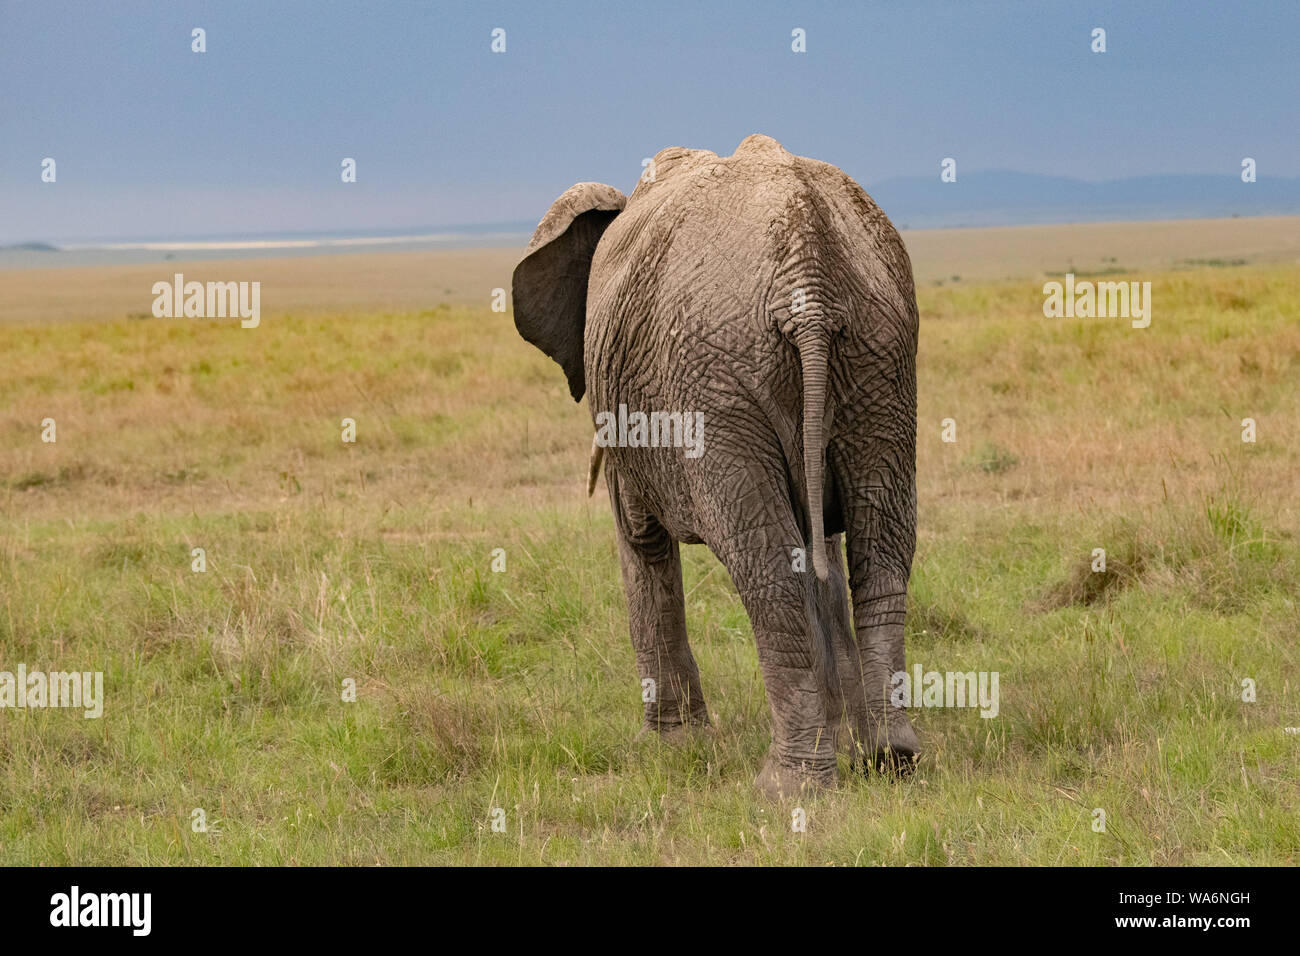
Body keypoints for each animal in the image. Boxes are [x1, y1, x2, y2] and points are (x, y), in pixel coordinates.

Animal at [512, 134, 920, 797]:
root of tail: (808, 276)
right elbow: (826, 549)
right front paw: (850, 745)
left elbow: (641, 546)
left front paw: (671, 748)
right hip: (878, 354)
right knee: (879, 546)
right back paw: (890, 758)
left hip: (719, 381)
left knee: (767, 567)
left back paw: (786, 789)